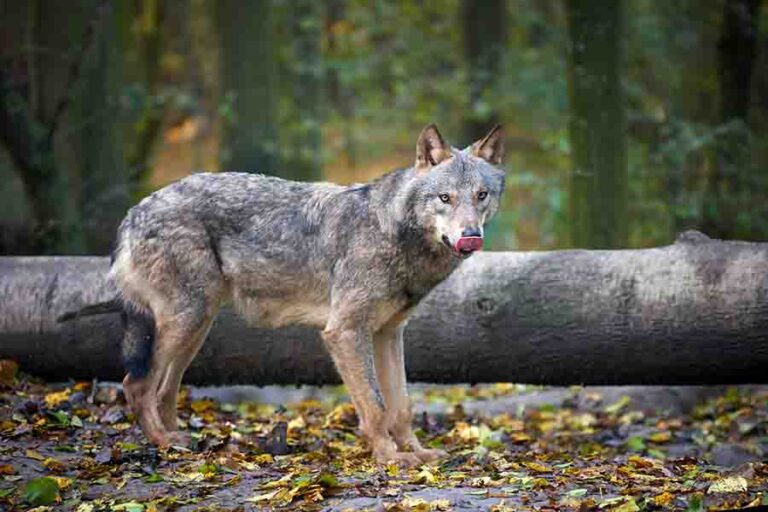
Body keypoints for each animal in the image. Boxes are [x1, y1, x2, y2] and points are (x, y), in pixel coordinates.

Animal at [110, 124, 505, 466]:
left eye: (481, 196)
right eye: (445, 198)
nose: (471, 236)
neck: (393, 231)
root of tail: (134, 211)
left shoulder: (388, 334)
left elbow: (402, 405)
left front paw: (418, 453)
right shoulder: (345, 332)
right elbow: (375, 406)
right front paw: (390, 458)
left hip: (197, 326)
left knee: (165, 390)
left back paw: (184, 441)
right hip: (187, 321)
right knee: (137, 385)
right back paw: (163, 442)